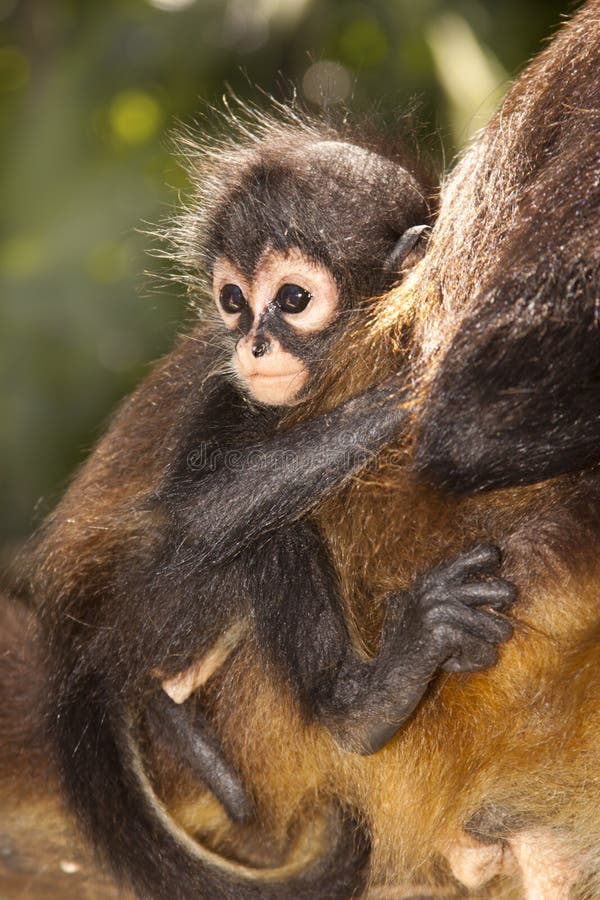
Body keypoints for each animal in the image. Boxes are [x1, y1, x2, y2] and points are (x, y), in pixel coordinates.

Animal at [11, 3, 599, 897]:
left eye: (291, 299)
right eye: (232, 300)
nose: (252, 342)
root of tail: (80, 633)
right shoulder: (227, 398)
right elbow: (199, 511)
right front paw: (404, 398)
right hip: (158, 607)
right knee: (262, 536)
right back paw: (362, 705)